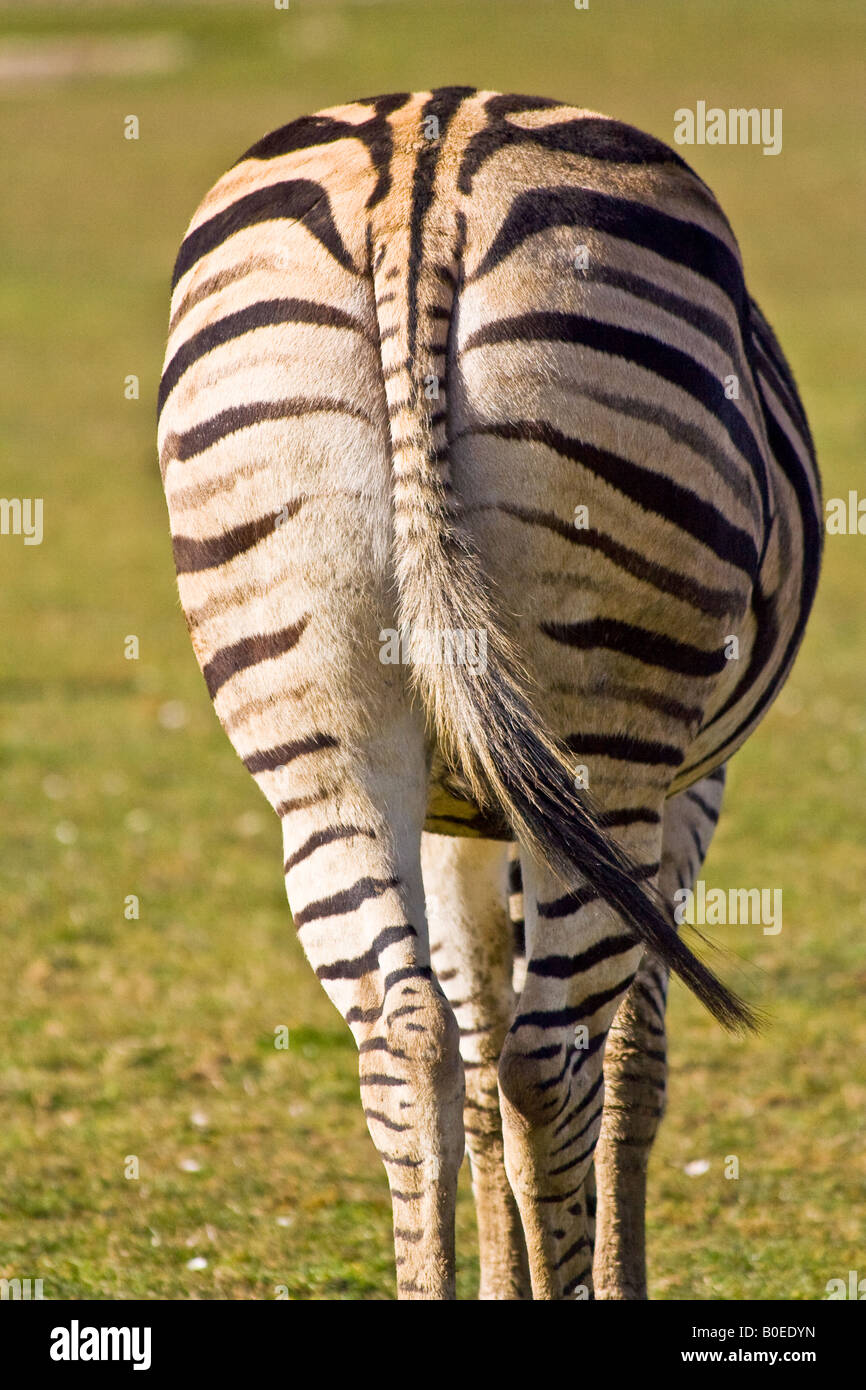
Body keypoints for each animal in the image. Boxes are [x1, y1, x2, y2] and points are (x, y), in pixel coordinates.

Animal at [157, 88, 821, 1300]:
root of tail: (422, 160)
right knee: (546, 1066)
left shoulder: (449, 819)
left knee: (407, 1042)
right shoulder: (689, 799)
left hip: (319, 743)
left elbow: (466, 1052)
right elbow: (632, 1069)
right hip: (608, 760)